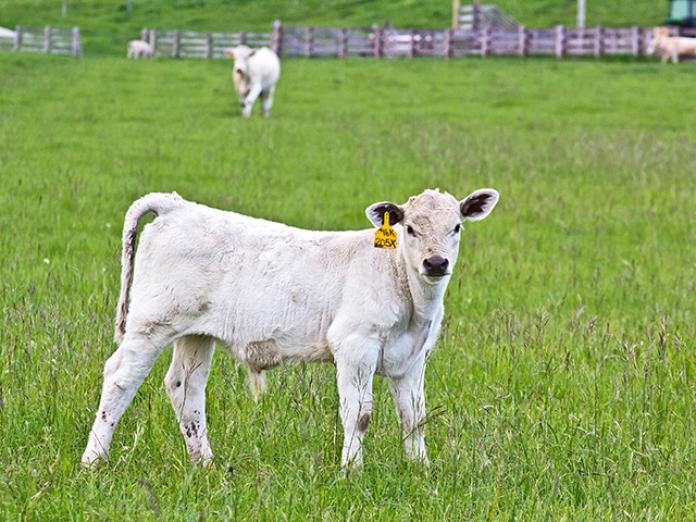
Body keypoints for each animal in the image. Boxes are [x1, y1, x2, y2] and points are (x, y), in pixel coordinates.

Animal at [81, 188, 499, 469]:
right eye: (410, 228)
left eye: (457, 227)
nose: (436, 263)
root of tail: (177, 206)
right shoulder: (355, 347)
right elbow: (359, 414)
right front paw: (352, 471)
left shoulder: (413, 358)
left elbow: (415, 416)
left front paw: (419, 469)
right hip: (152, 323)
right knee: (119, 378)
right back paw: (93, 461)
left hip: (195, 334)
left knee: (185, 387)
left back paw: (205, 464)